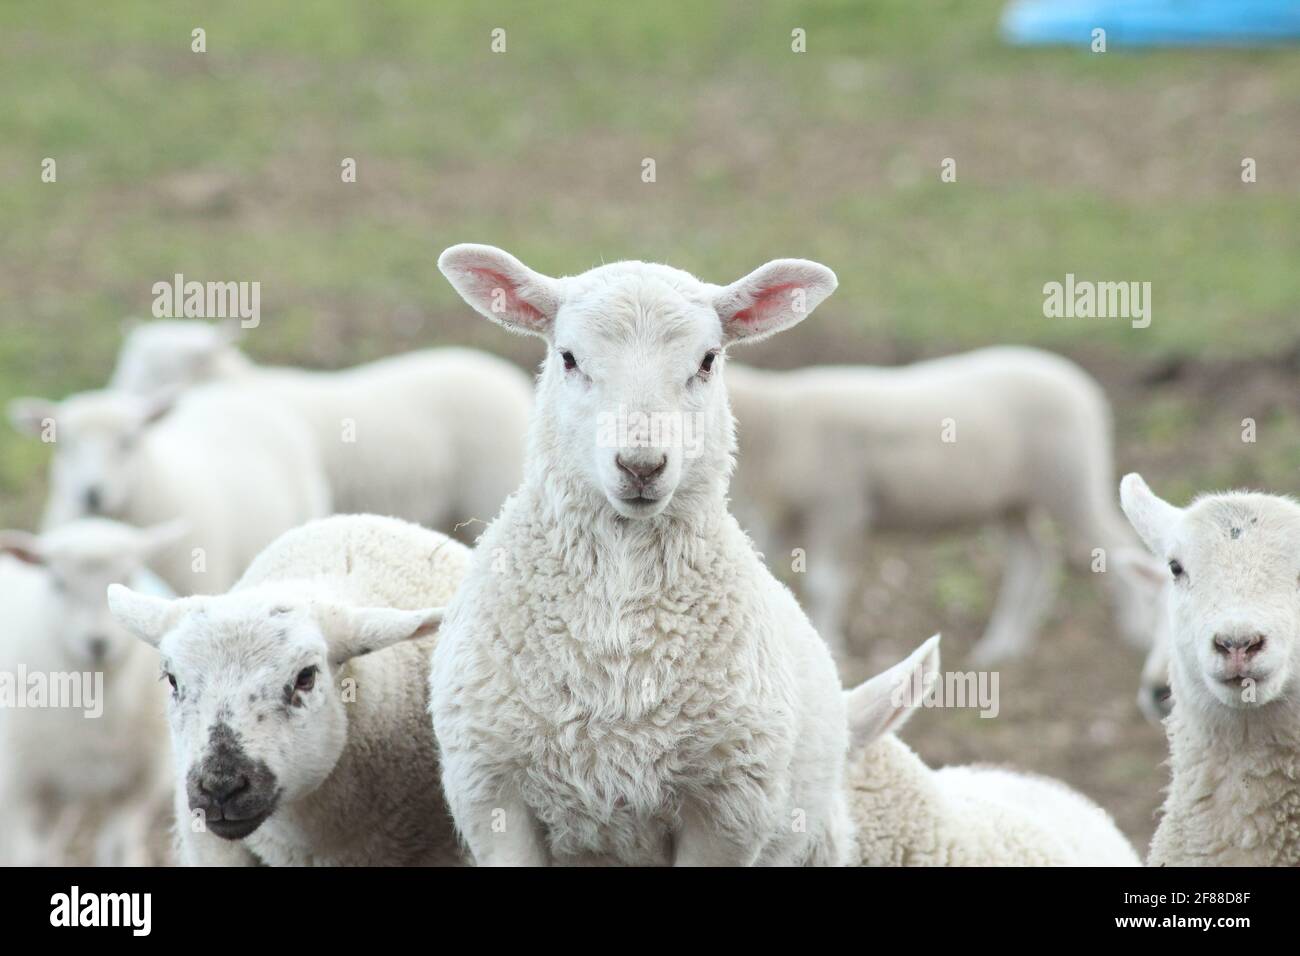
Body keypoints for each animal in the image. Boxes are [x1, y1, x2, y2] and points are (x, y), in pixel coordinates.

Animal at [0, 518, 182, 866]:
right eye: (58, 582)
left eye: (127, 575)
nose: (97, 643)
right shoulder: (18, 785)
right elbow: (24, 854)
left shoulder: (138, 784)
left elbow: (119, 849)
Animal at [725, 348, 1156, 665]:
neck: (775, 421)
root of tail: (1083, 386)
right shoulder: (779, 517)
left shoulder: (839, 507)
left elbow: (823, 585)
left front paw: (830, 647)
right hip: (1014, 502)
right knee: (1032, 560)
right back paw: (1003, 645)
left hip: (1072, 483)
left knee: (1113, 543)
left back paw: (1136, 629)